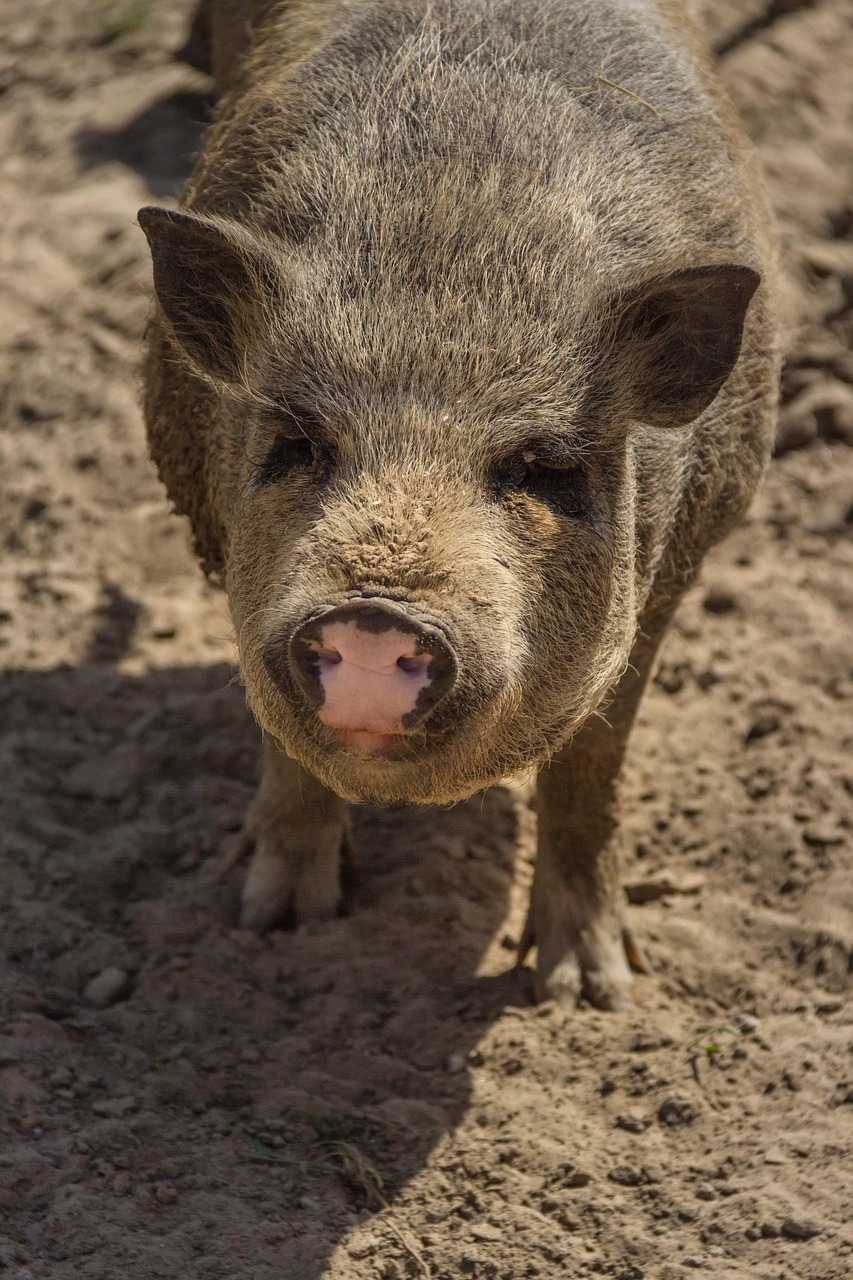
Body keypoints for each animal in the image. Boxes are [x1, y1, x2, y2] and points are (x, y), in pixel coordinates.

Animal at [138, 0, 779, 1010]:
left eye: (542, 466)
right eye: (297, 444)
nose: (373, 614)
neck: (454, 242)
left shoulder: (679, 566)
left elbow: (592, 766)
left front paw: (591, 992)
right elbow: (280, 747)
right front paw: (271, 923)